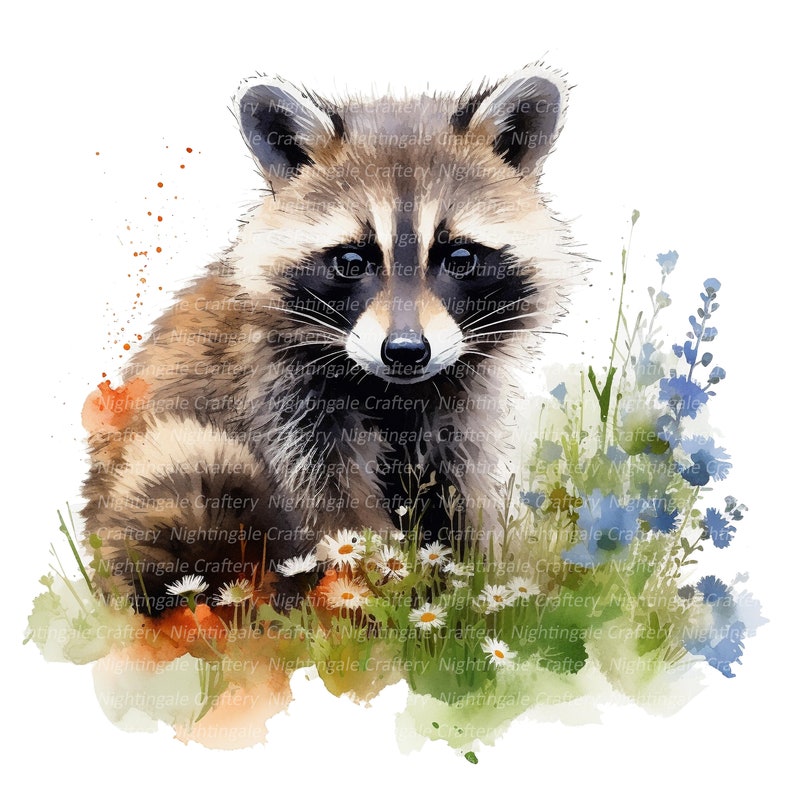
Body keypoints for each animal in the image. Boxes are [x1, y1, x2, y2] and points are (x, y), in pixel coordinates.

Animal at [82, 64, 581, 614]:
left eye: (461, 258)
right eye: (351, 261)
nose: (406, 351)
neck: (397, 391)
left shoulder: (461, 403)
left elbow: (459, 495)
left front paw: (470, 599)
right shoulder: (279, 394)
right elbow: (329, 505)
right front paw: (375, 603)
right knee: (192, 467)